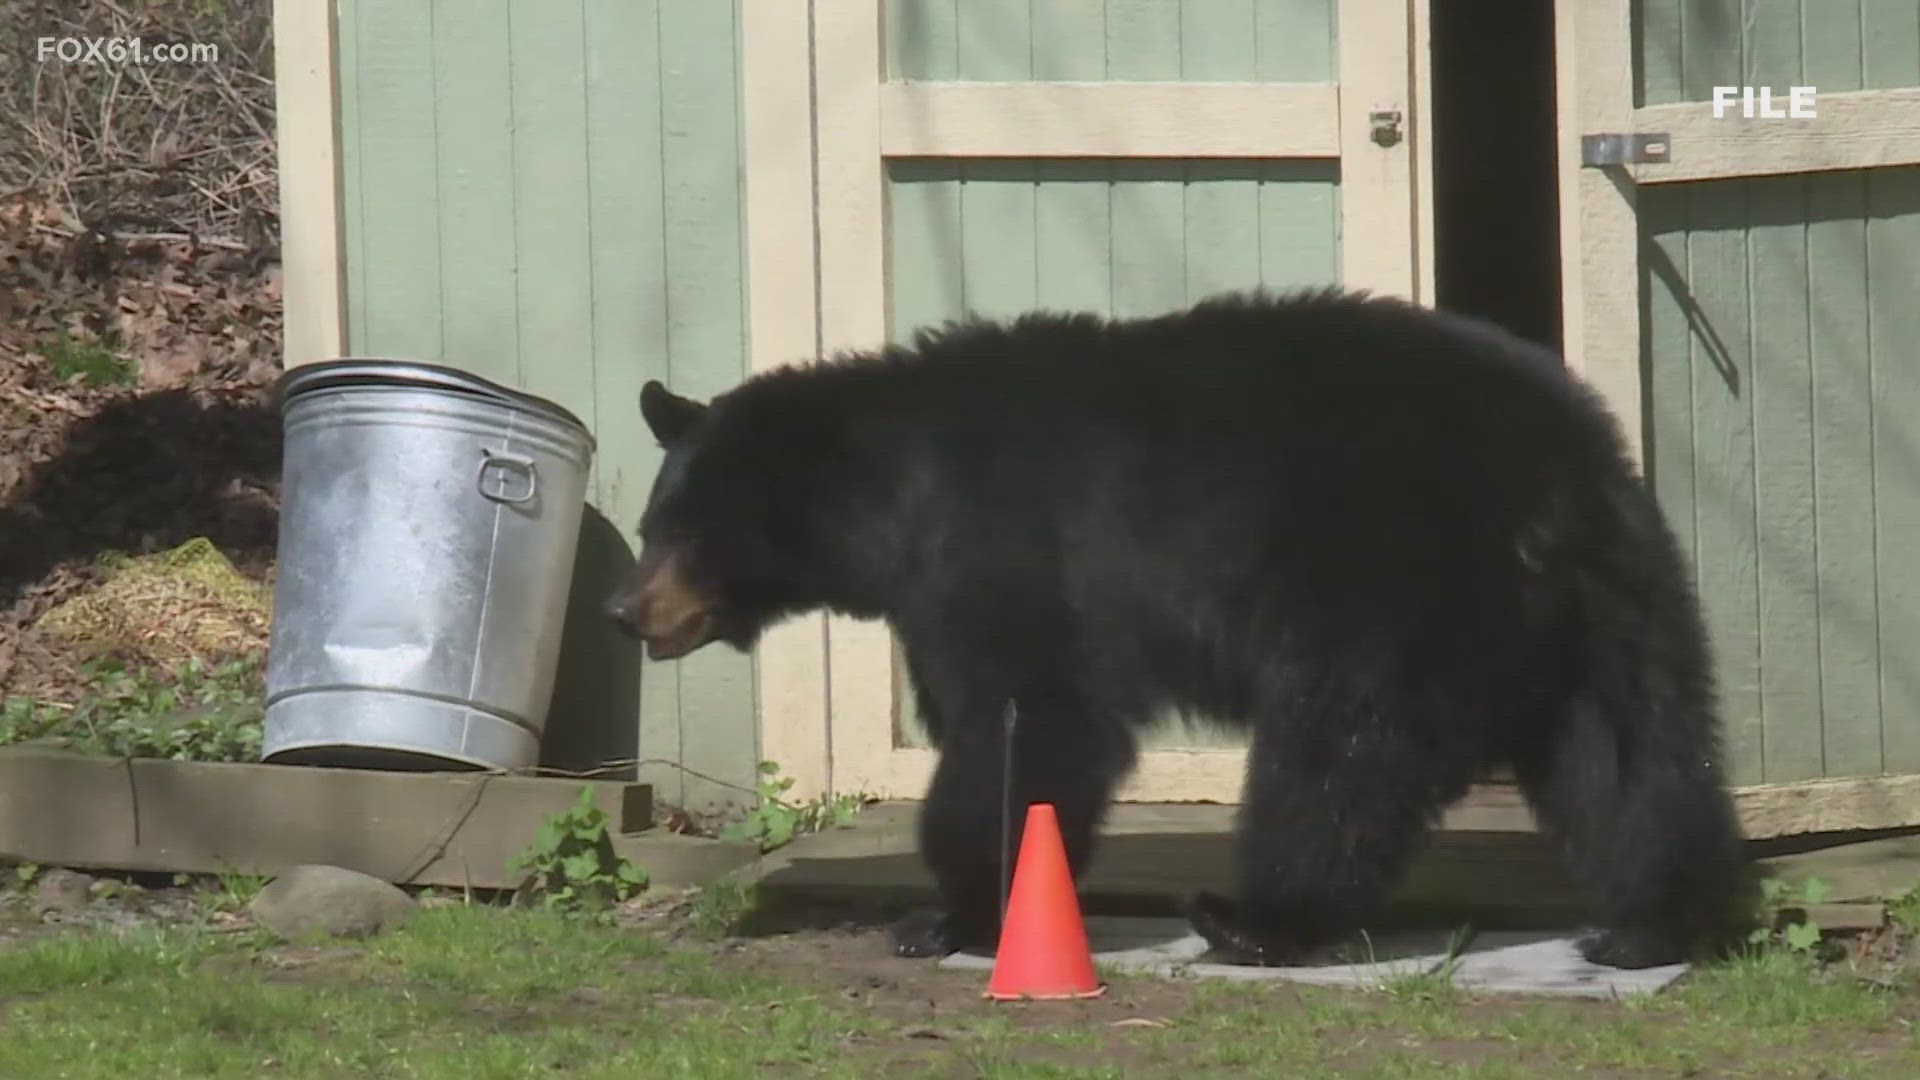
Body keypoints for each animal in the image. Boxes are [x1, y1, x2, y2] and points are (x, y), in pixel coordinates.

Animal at [606, 288, 1747, 970]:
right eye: (650, 526)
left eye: (680, 533)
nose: (624, 611)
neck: (887, 494)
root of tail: (1557, 471)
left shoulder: (996, 552)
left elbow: (1025, 725)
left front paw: (949, 914)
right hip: (1613, 607)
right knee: (1633, 754)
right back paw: (1650, 920)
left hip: (1389, 587)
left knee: (1340, 758)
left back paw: (1253, 919)